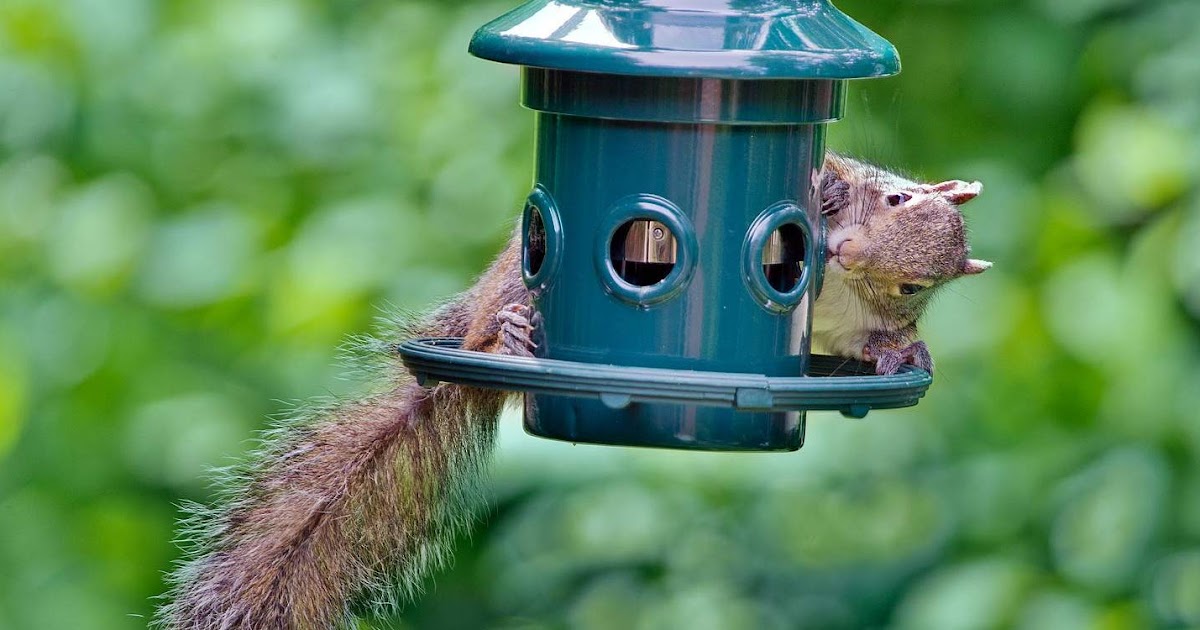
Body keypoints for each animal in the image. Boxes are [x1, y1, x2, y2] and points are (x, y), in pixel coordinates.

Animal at [156, 153, 989, 629]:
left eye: (915, 283)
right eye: (896, 201)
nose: (842, 251)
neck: (842, 286)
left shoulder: (851, 329)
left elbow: (878, 344)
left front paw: (904, 351)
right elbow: (832, 165)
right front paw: (823, 192)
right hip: (507, 285)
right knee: (486, 332)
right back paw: (507, 338)